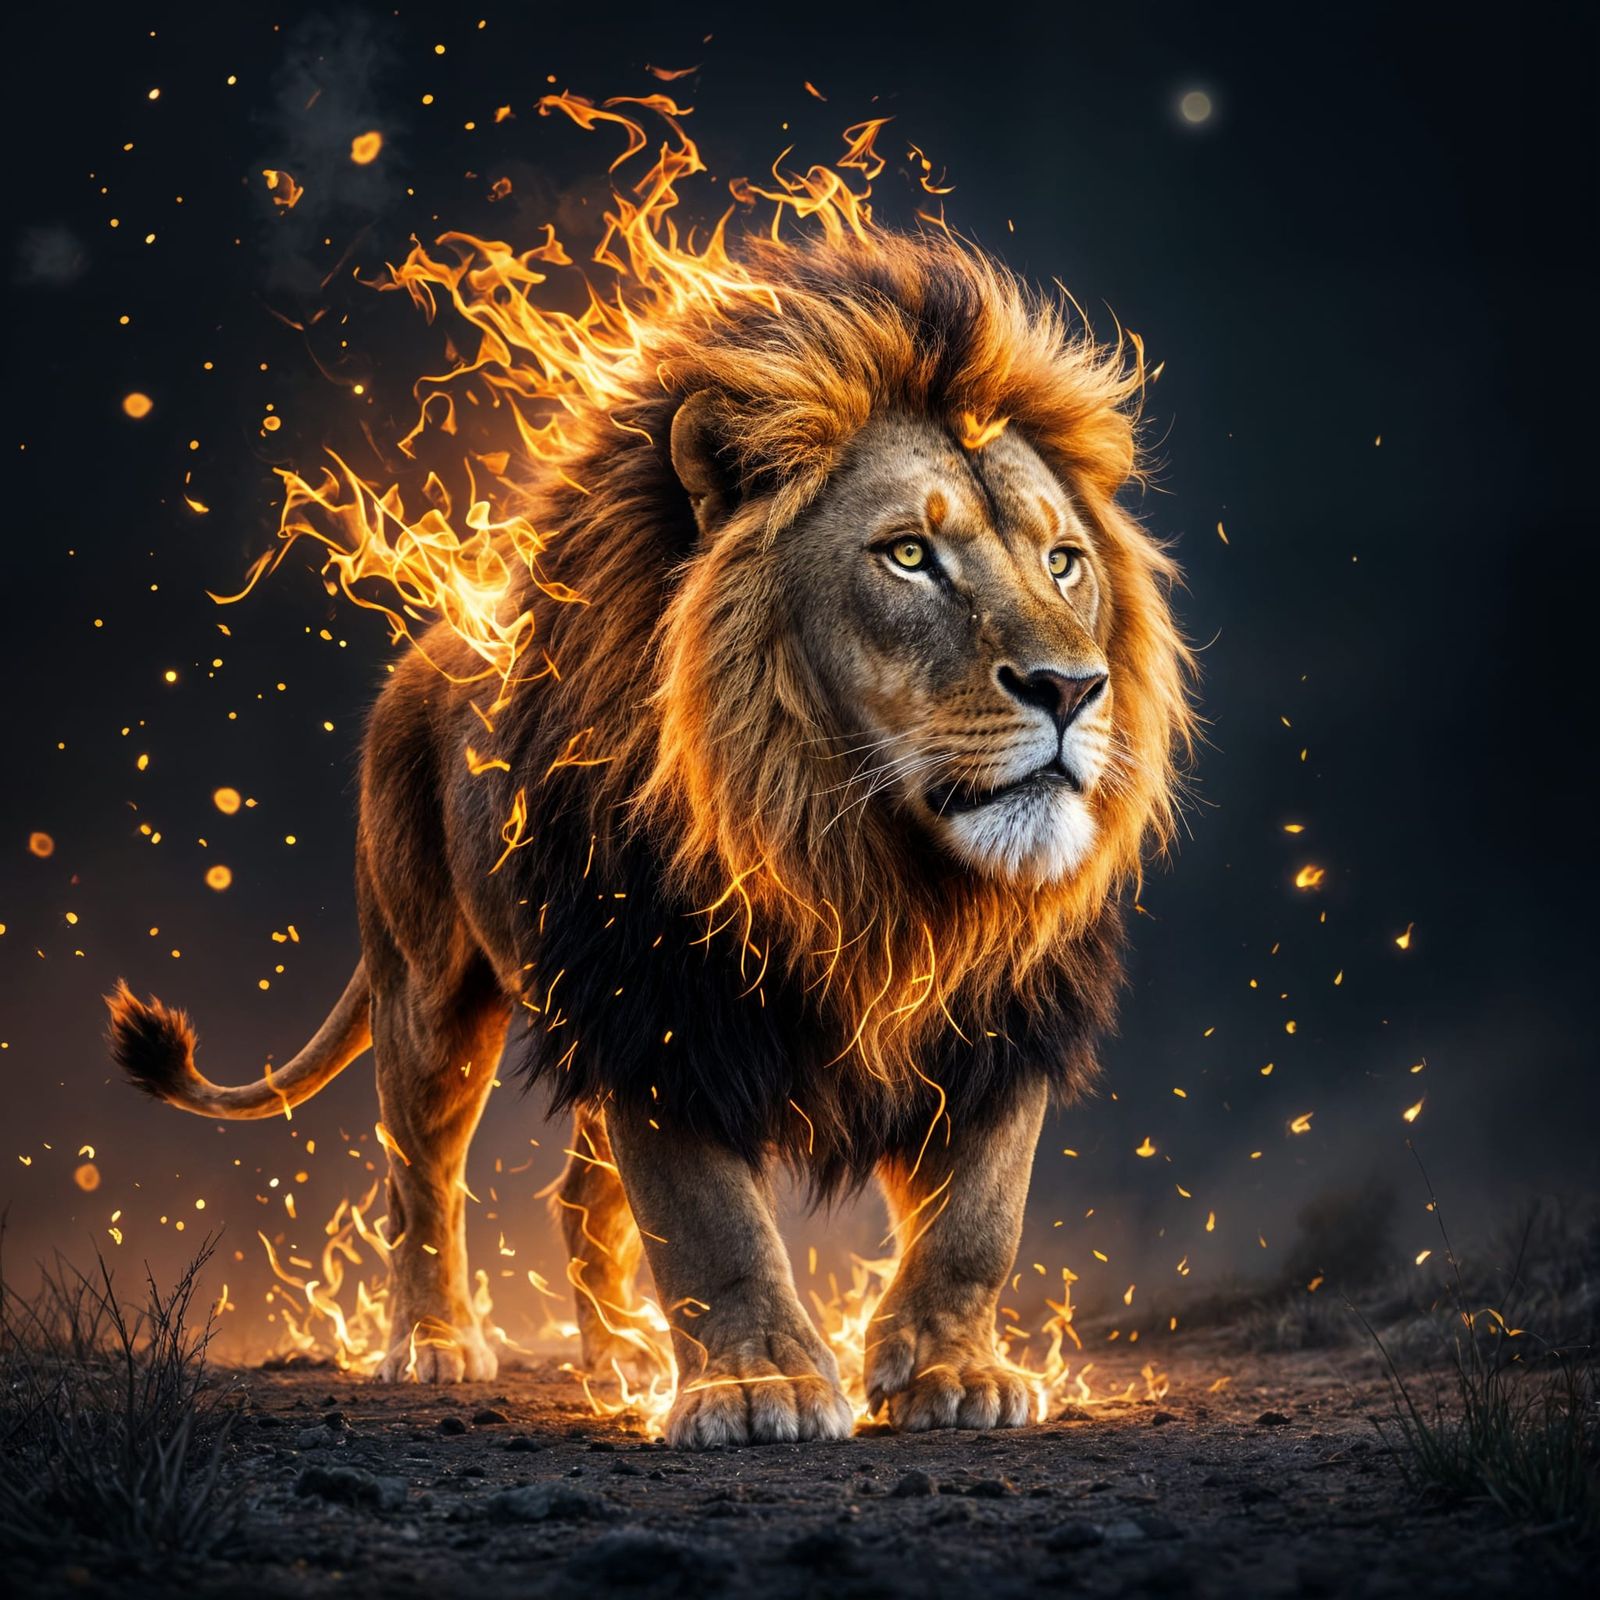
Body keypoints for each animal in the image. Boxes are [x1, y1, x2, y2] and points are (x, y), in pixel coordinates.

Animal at [108, 230, 1194, 1447]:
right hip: (434, 991)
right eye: (910, 555)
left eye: (1063, 561)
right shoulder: (660, 1007)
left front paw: (951, 1370)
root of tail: (430, 648)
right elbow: (709, 1220)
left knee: (581, 1198)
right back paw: (435, 1343)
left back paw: (620, 1356)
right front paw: (762, 1386)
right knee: (419, 1172)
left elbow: (979, 1216)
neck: (863, 856)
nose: (1072, 688)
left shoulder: (1001, 1012)